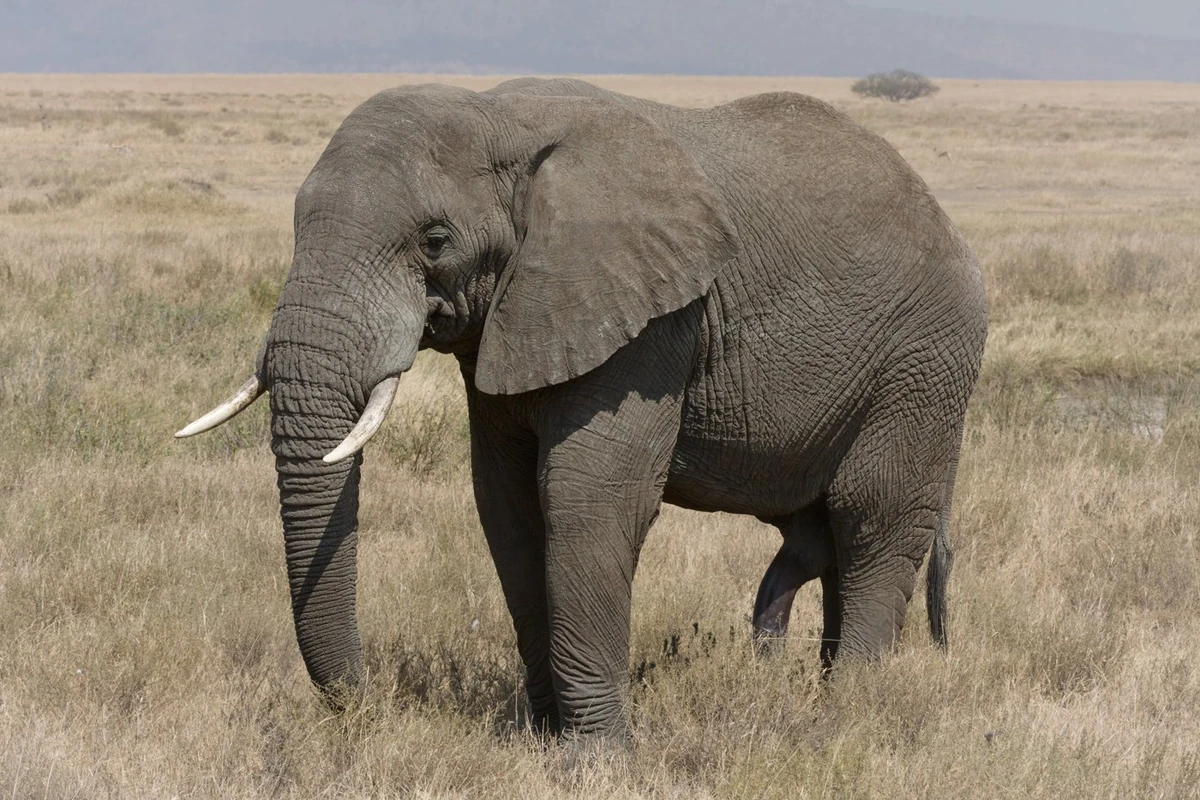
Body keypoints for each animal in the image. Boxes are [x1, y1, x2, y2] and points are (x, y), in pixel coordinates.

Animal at [177, 77, 987, 742]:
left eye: (434, 240)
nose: (365, 707)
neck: (498, 116)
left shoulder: (652, 321)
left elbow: (586, 499)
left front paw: (596, 756)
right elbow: (507, 506)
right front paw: (539, 738)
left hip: (924, 363)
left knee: (871, 522)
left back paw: (845, 716)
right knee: (821, 537)